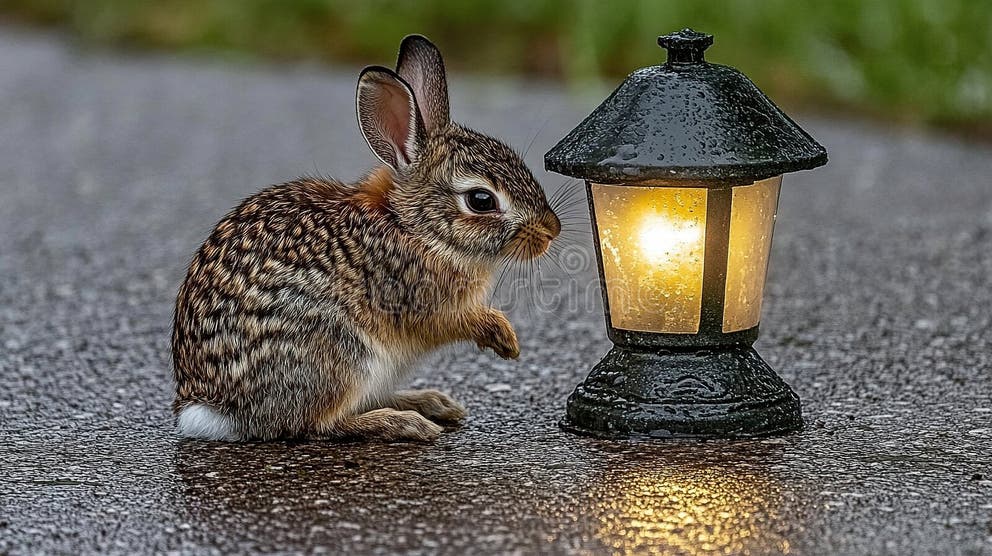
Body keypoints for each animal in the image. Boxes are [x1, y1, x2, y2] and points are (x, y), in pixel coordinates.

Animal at [171, 35, 561, 442]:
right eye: (481, 200)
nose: (551, 230)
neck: (412, 227)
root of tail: (213, 409)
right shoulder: (417, 299)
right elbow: (453, 320)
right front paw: (504, 338)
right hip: (341, 353)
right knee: (320, 424)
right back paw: (406, 422)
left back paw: (430, 403)